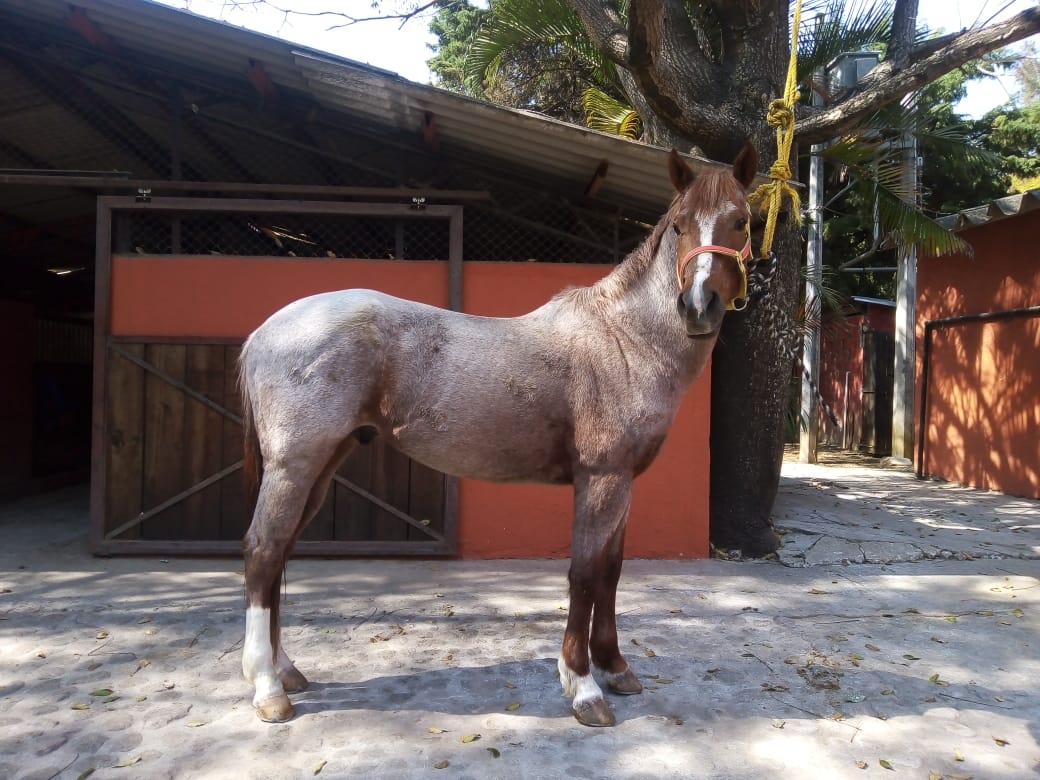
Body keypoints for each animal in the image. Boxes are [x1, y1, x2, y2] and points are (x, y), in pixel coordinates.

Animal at [238, 143, 770, 727]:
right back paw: (267, 689)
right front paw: (583, 686)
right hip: (294, 466)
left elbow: (611, 571)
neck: (624, 340)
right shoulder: (601, 479)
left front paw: (615, 667)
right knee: (263, 552)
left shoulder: (623, 482)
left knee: (281, 554)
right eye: (679, 225)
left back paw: (287, 671)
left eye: (742, 221)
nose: (698, 306)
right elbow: (585, 574)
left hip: (322, 465)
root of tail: (264, 332)